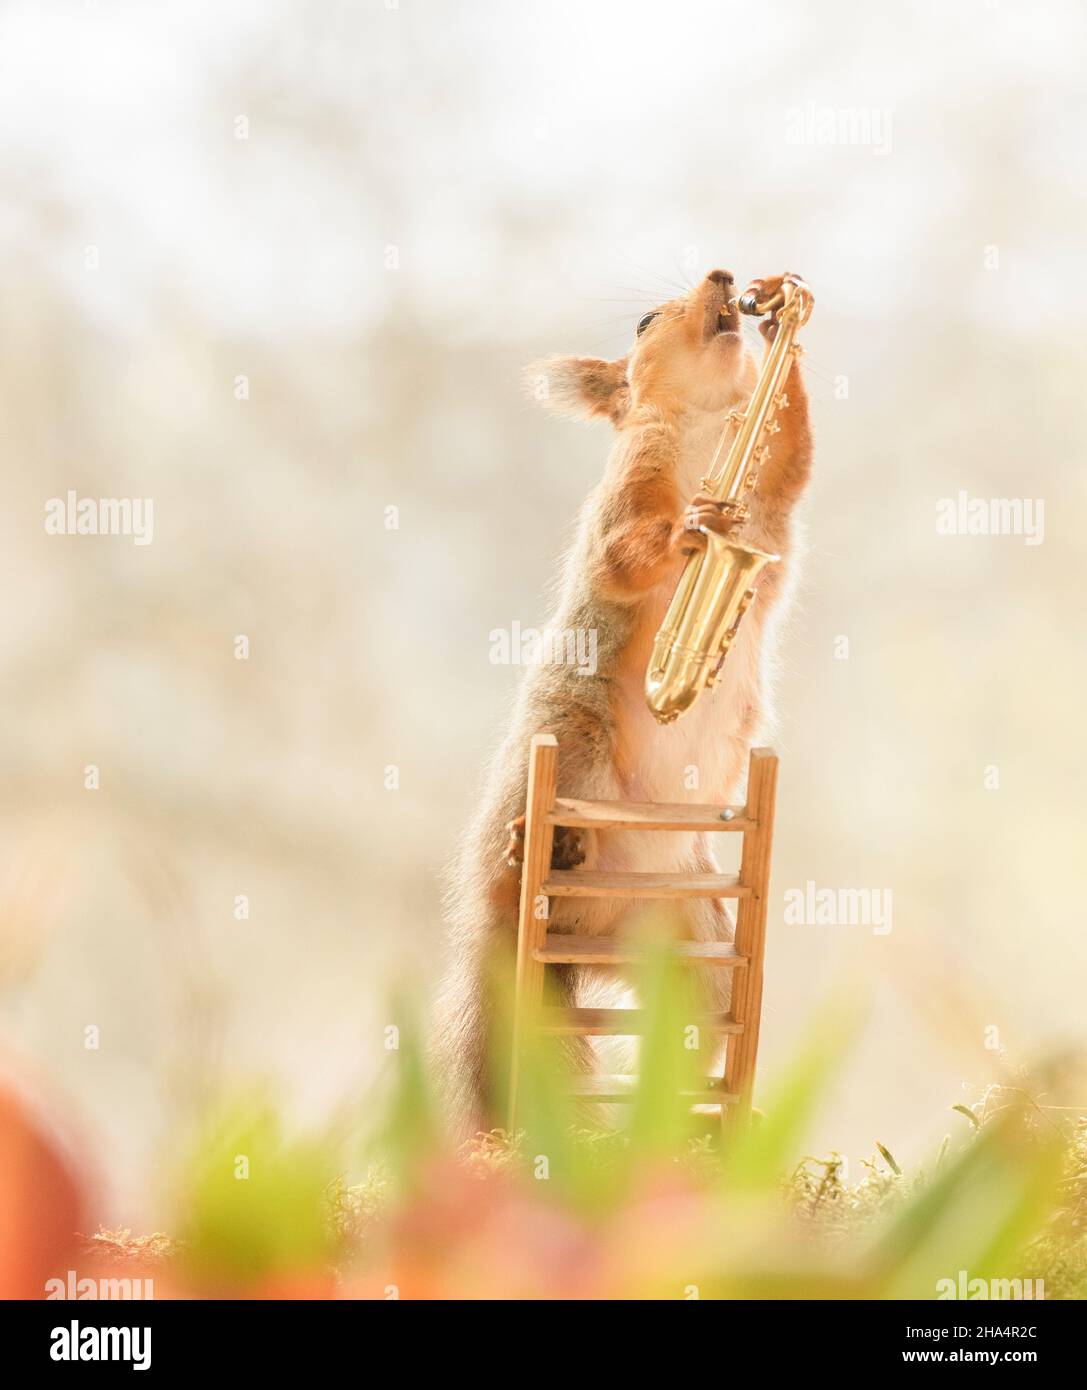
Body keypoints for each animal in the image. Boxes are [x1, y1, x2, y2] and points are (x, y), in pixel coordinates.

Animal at [433, 270, 814, 1133]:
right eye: (643, 320)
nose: (726, 278)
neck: (707, 425)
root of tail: (597, 922)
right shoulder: (626, 490)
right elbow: (625, 552)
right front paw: (691, 530)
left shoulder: (773, 499)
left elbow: (795, 453)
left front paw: (785, 322)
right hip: (569, 750)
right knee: (518, 869)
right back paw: (532, 850)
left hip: (696, 947)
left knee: (698, 1034)